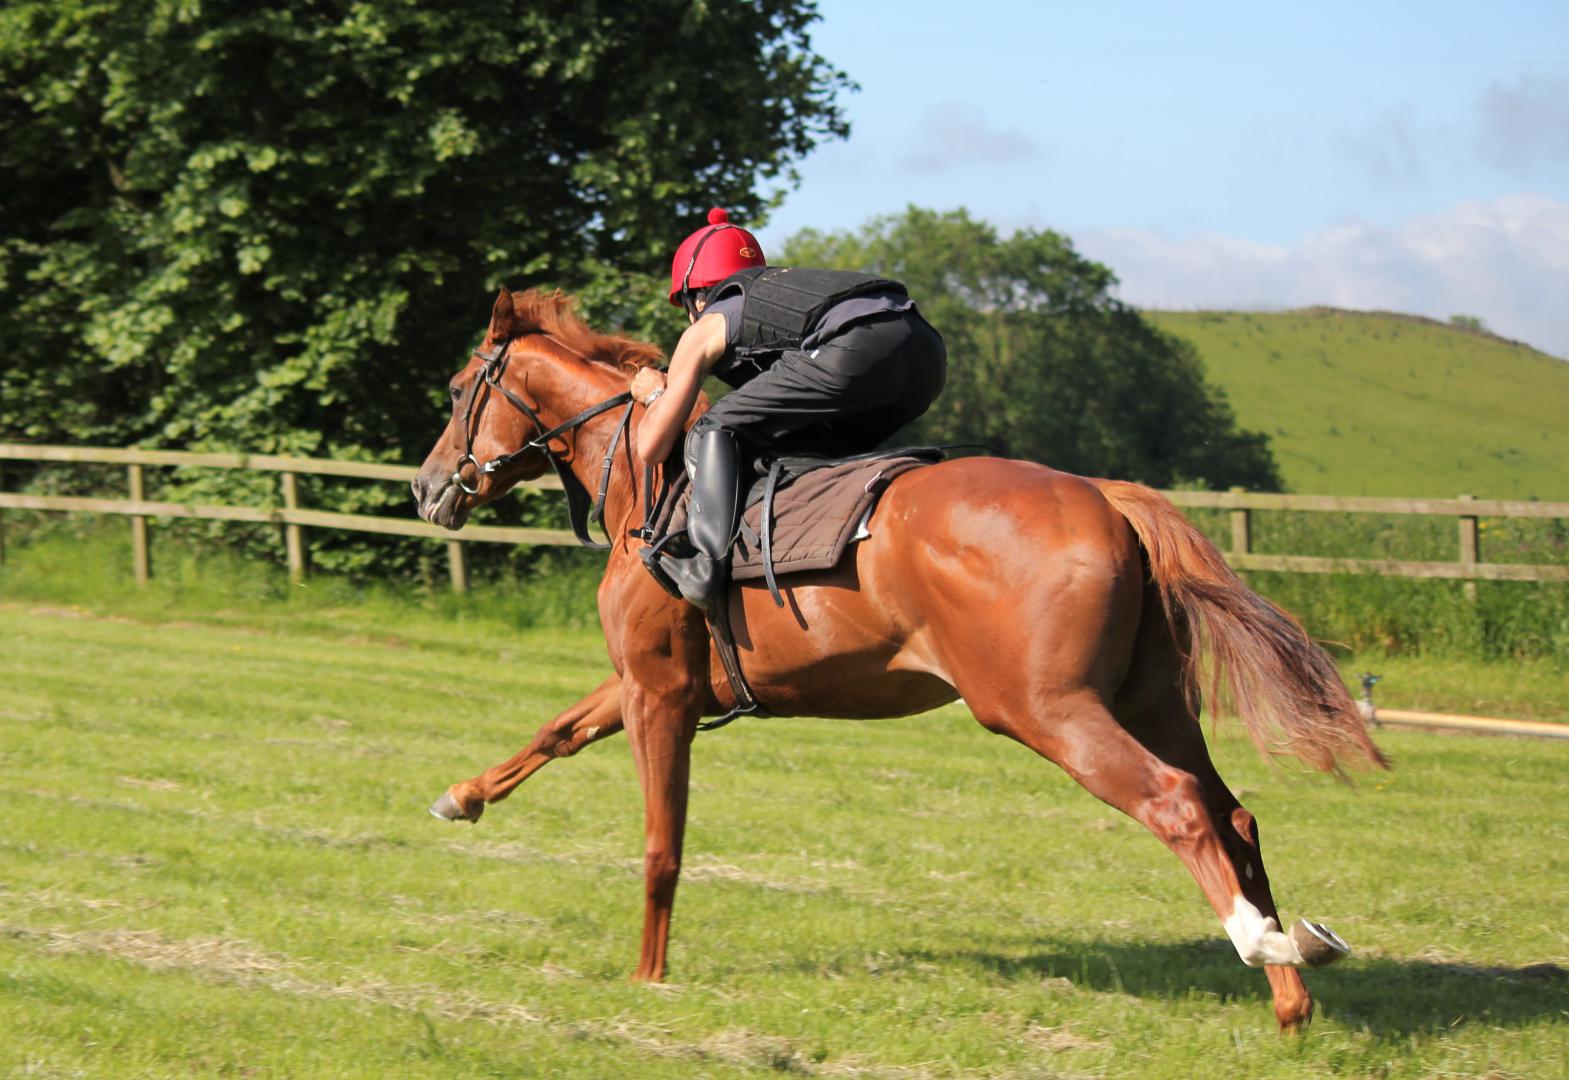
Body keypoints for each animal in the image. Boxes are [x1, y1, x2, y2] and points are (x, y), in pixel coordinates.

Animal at [411, 287, 1387, 1031]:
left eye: (460, 389)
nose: (425, 487)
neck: (646, 482)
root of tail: (1105, 498)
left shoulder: (659, 693)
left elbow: (661, 845)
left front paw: (647, 979)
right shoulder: (654, 686)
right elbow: (557, 731)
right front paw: (461, 796)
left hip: (1047, 709)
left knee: (1179, 806)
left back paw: (1263, 950)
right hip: (1151, 703)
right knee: (1233, 815)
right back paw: (1290, 981)